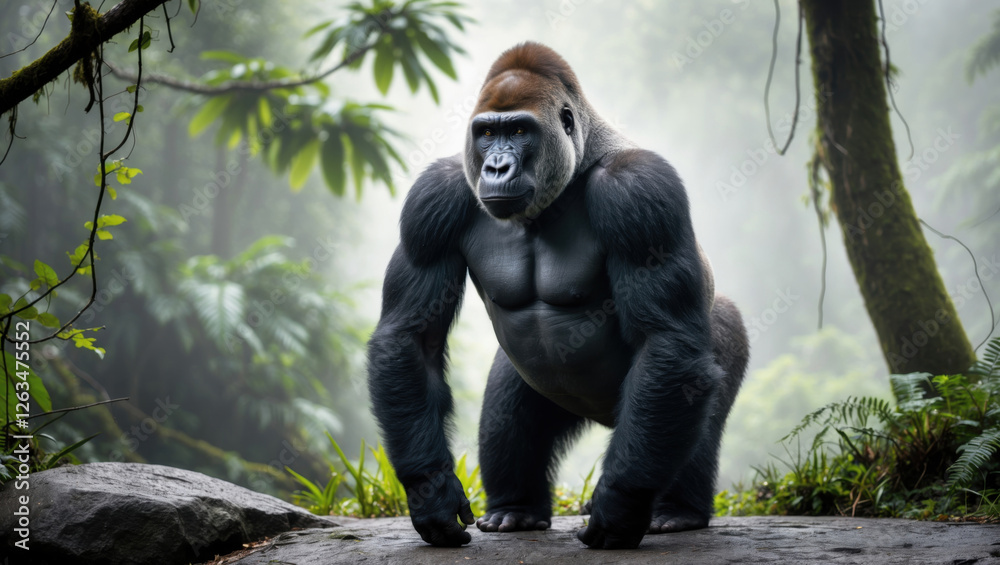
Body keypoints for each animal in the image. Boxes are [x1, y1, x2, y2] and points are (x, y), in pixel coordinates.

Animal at [367, 42, 748, 549]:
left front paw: (619, 507)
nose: (496, 166)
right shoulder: (434, 196)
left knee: (693, 393)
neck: (577, 163)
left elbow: (666, 339)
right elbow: (410, 336)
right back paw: (517, 508)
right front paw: (432, 492)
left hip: (724, 335)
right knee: (509, 407)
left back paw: (678, 511)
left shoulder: (641, 190)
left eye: (519, 131)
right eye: (486, 133)